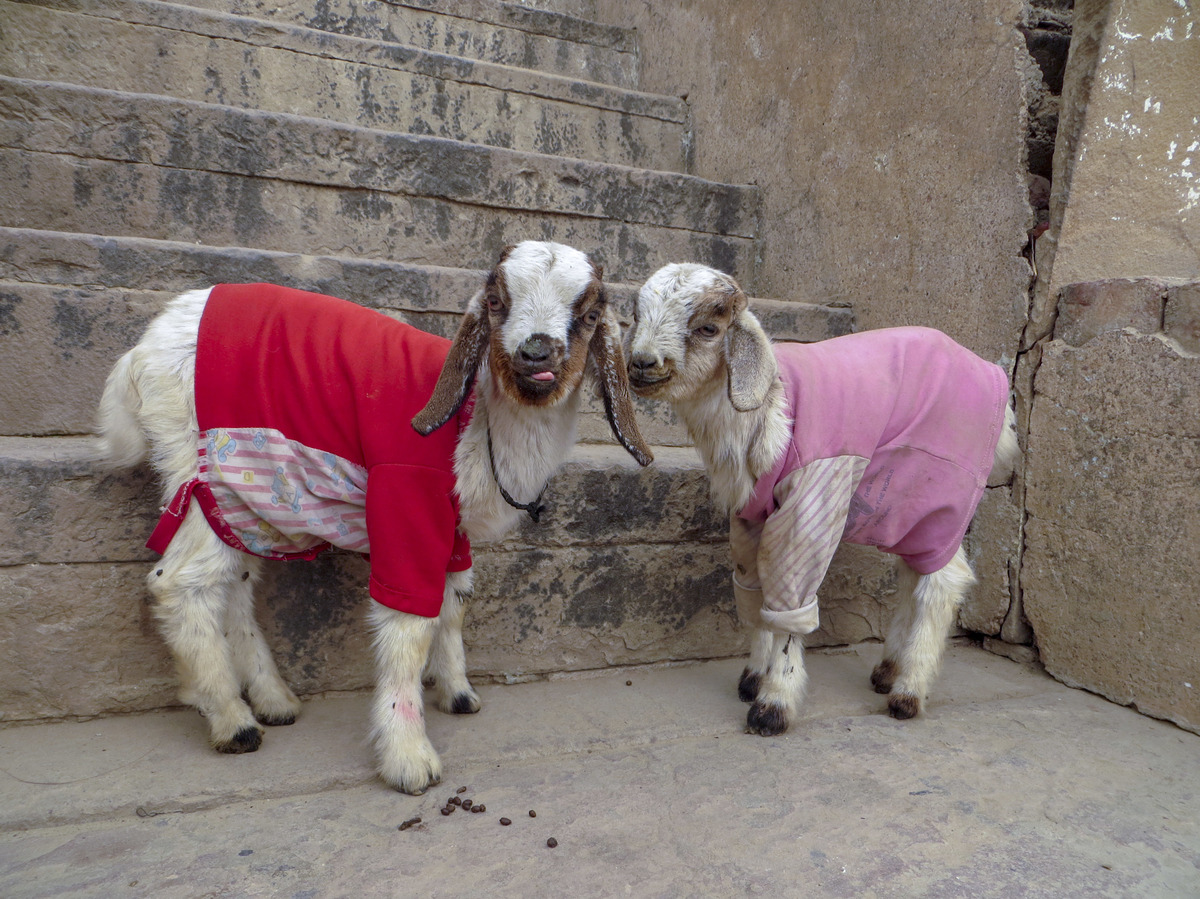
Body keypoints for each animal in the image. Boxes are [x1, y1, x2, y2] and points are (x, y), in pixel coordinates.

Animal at [97, 241, 652, 794]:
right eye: (496, 302)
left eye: (590, 315)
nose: (535, 355)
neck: (480, 416)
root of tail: (142, 349)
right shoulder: (407, 497)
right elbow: (410, 626)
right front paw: (408, 756)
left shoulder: (452, 529)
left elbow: (455, 601)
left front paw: (458, 693)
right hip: (209, 468)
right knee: (179, 583)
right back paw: (233, 721)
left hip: (248, 496)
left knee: (233, 584)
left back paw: (269, 699)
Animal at [626, 263, 1018, 735]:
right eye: (636, 315)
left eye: (708, 328)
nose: (642, 363)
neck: (772, 402)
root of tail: (999, 391)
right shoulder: (750, 515)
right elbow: (755, 594)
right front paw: (754, 678)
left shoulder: (813, 495)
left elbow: (790, 602)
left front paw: (773, 704)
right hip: (900, 498)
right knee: (915, 573)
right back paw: (889, 670)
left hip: (943, 486)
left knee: (943, 580)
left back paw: (908, 692)